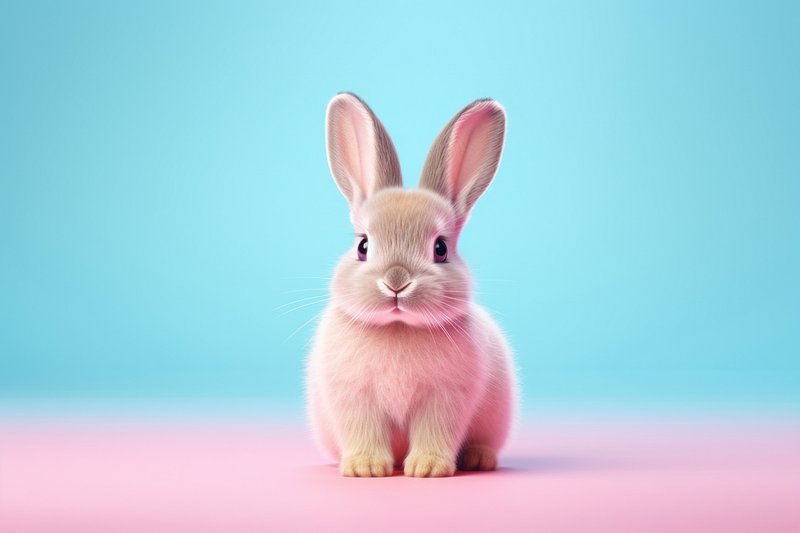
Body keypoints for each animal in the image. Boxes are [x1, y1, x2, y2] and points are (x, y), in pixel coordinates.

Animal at [306, 93, 516, 477]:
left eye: (440, 248)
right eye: (363, 246)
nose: (396, 282)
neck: (398, 327)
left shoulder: (444, 400)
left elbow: (435, 432)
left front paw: (427, 468)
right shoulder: (355, 399)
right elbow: (365, 432)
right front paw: (365, 468)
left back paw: (479, 459)